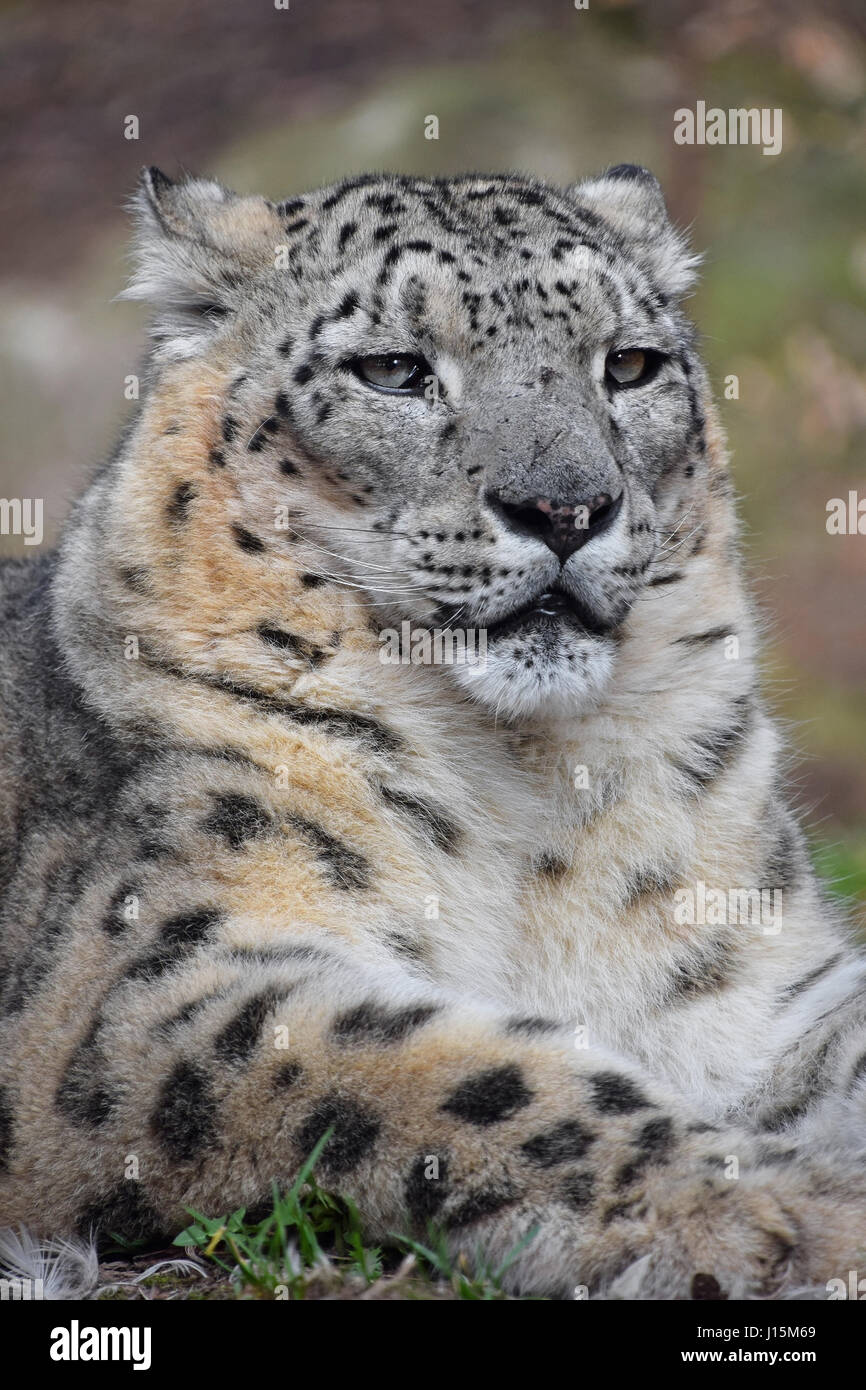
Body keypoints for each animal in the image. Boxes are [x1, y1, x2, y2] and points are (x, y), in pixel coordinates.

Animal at [1, 163, 865, 1300]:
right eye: (394, 370)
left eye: (628, 364)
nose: (566, 506)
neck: (537, 792)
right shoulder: (142, 992)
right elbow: (462, 1075)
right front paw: (782, 1212)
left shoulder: (762, 985)